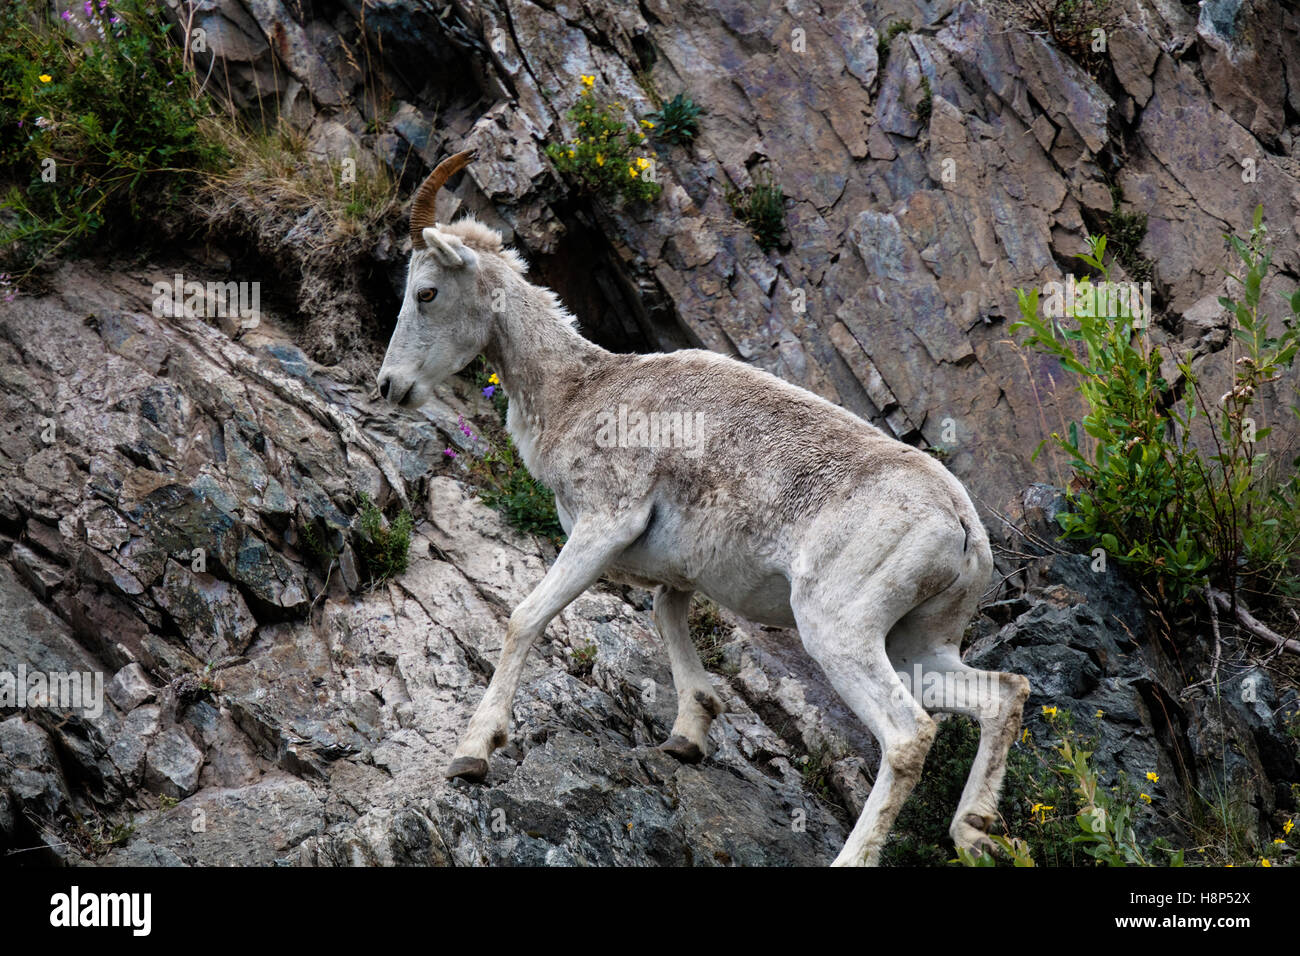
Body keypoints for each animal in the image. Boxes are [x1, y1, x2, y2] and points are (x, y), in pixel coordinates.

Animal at [377, 150, 1031, 866]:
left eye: (425, 292)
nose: (390, 386)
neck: (578, 394)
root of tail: (961, 527)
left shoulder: (604, 527)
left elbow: (524, 619)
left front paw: (471, 755)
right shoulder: (678, 572)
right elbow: (667, 617)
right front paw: (688, 737)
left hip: (839, 630)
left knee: (909, 735)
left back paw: (857, 855)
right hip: (918, 642)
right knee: (1002, 696)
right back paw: (974, 835)